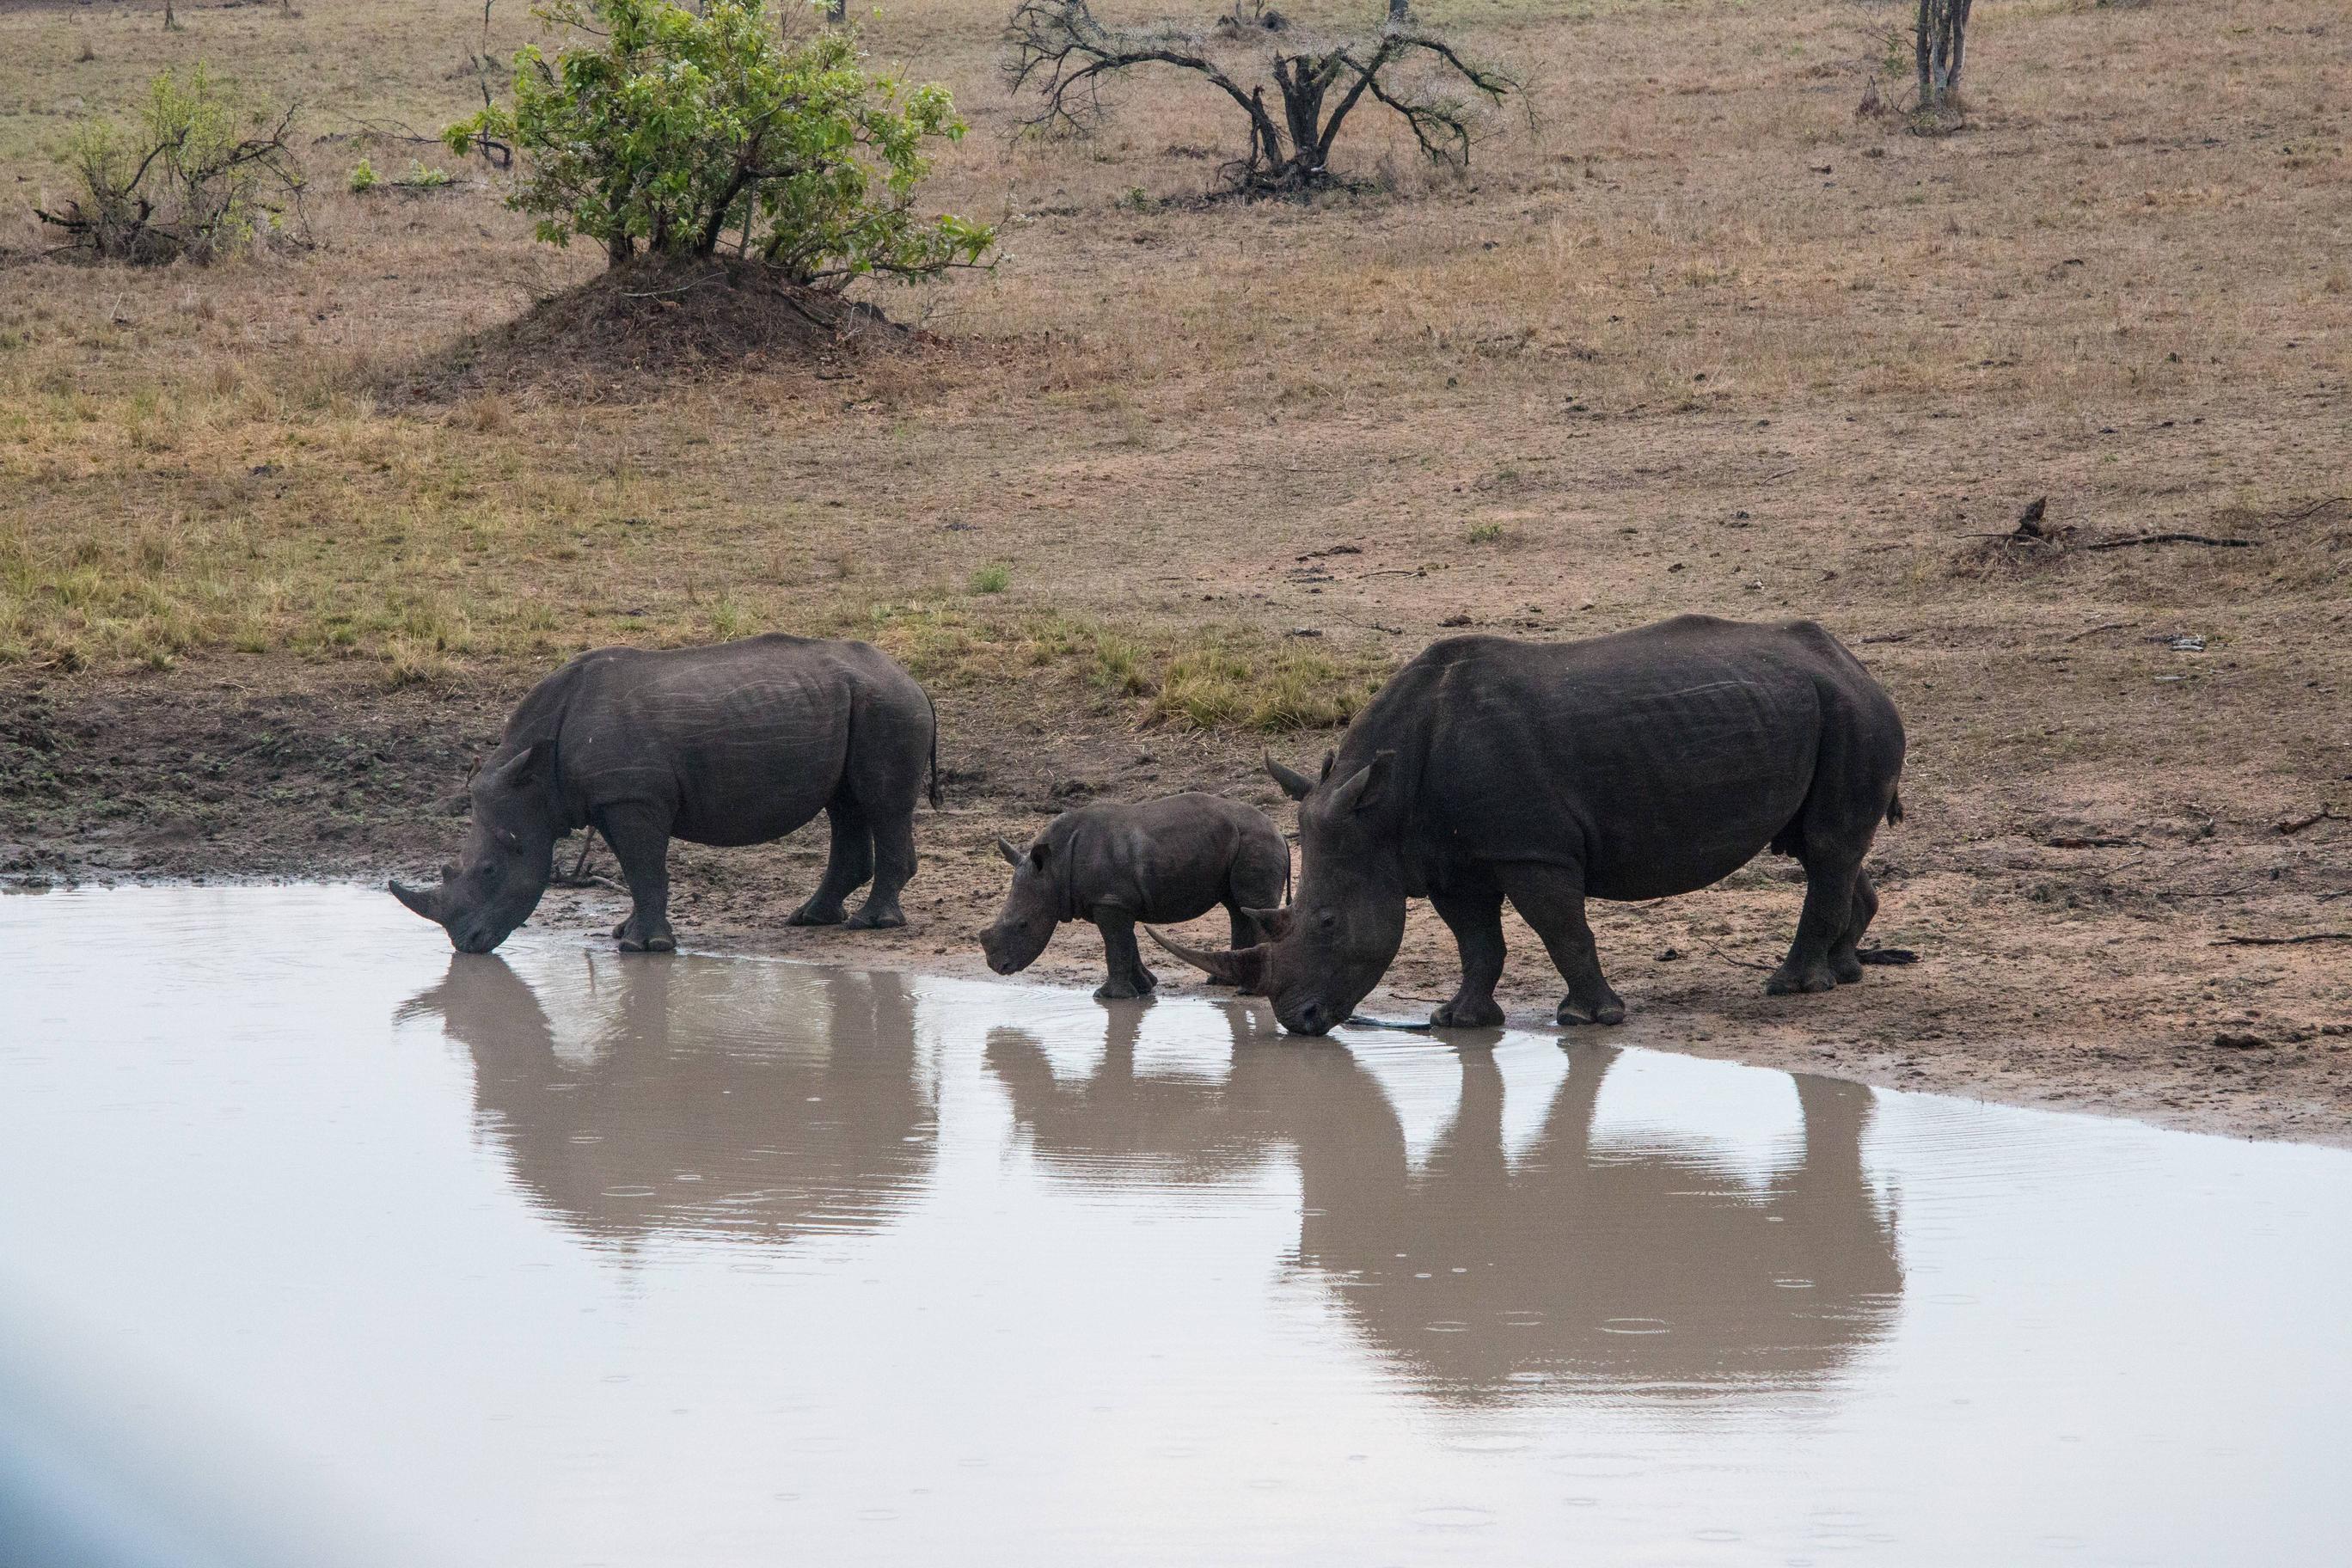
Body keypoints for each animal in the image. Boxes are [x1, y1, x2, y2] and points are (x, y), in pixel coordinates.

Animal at [391, 634, 938, 955]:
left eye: (489, 870)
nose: (466, 944)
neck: (536, 774)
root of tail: (911, 678)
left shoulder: (632, 798)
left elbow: (643, 866)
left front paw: (644, 947)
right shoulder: (612, 800)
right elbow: (635, 869)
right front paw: (626, 934)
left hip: (887, 705)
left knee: (881, 804)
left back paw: (871, 925)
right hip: (860, 702)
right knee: (845, 804)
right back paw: (810, 919)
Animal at [978, 792, 1291, 1001]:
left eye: (1023, 925)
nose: (997, 967)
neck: (1053, 871)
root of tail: (1279, 831)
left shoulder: (1110, 900)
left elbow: (1115, 945)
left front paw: (1108, 997)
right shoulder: (1114, 901)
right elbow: (1126, 942)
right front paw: (1144, 988)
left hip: (1256, 840)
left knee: (1251, 907)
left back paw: (1248, 991)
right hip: (1241, 841)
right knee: (1237, 907)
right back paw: (1222, 983)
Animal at [1155, 616, 1906, 1034]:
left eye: (1329, 922)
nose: (1298, 1023)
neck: (1381, 804)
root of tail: (1856, 664)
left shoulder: (1531, 848)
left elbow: (1560, 929)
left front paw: (1590, 1019)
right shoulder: (1448, 858)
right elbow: (1476, 941)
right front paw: (1457, 1021)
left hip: (1851, 712)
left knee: (1826, 847)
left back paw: (1791, 986)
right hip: (1823, 707)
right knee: (1821, 848)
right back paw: (1844, 973)